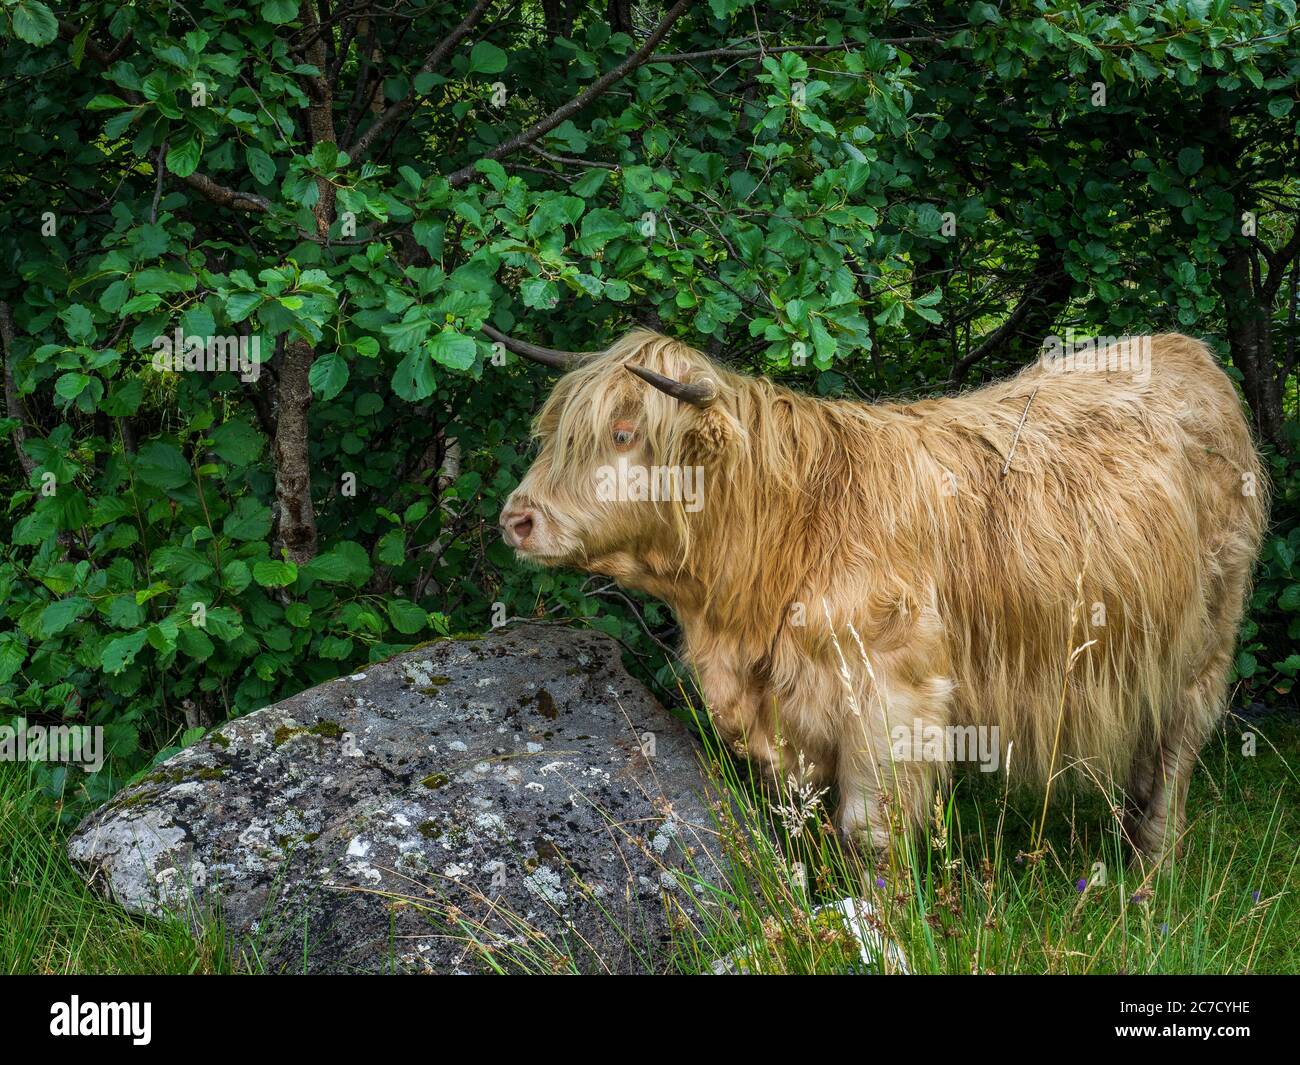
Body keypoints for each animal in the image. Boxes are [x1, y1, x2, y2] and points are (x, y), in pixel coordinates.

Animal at [496, 327, 1268, 860]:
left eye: (624, 432)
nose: (517, 518)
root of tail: (1183, 351)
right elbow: (805, 822)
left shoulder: (892, 697)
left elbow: (870, 832)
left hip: (1206, 643)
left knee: (1175, 750)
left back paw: (1150, 875)